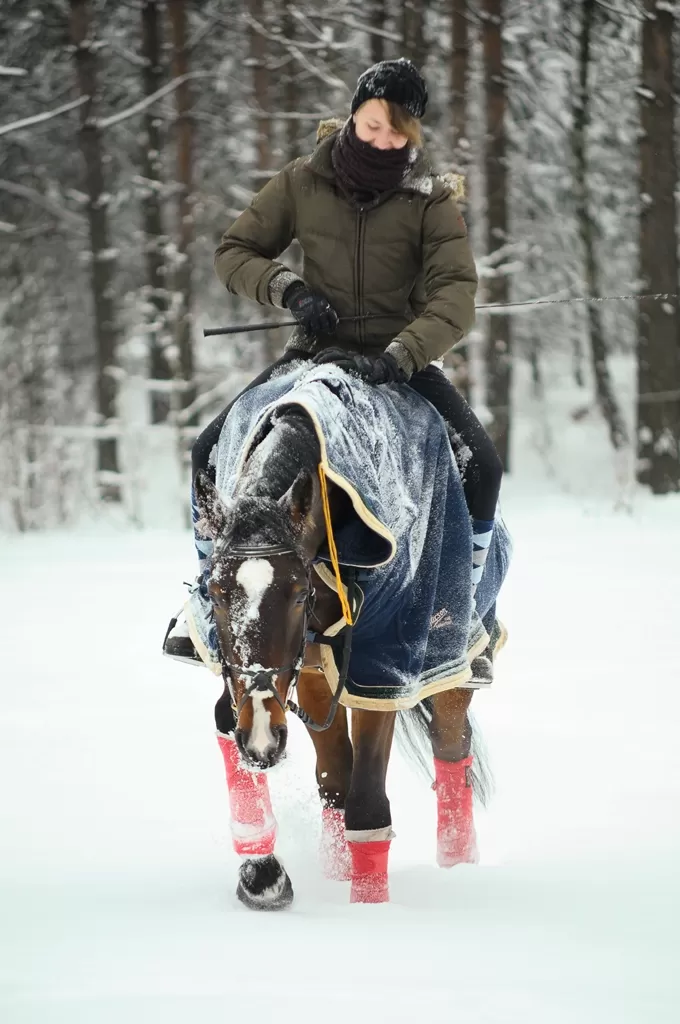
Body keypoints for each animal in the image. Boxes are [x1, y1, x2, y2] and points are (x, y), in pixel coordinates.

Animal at [191, 387, 499, 909]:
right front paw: (262, 876)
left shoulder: (380, 672)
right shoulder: (268, 681)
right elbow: (235, 731)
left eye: (297, 593)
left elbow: (368, 800)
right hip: (316, 679)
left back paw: (458, 860)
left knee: (450, 747)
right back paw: (335, 869)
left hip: (452, 666)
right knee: (333, 777)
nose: (262, 737)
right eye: (212, 591)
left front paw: (368, 909)